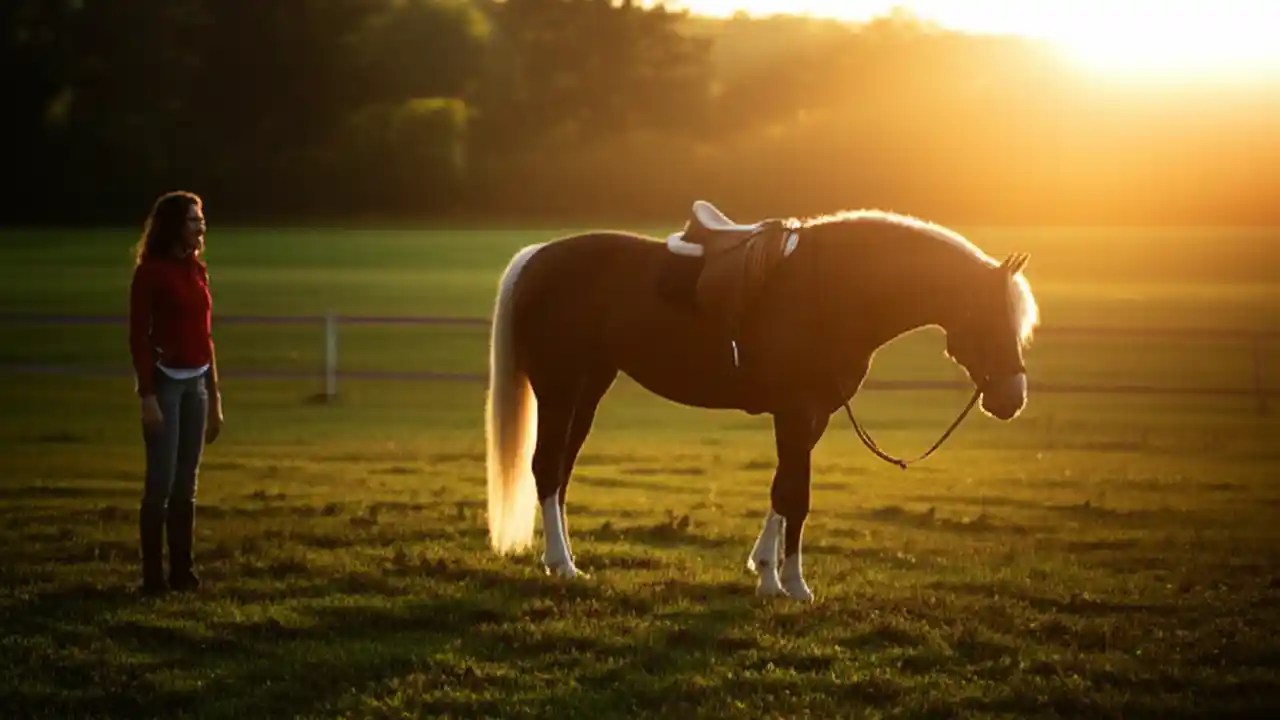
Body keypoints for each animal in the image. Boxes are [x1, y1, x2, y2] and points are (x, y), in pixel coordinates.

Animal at [484, 203, 1039, 601]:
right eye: (987, 316)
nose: (1012, 397)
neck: (833, 291)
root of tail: (538, 256)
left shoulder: (812, 415)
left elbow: (782, 489)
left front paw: (765, 570)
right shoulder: (795, 411)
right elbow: (796, 495)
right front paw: (789, 584)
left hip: (588, 389)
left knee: (561, 471)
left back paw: (563, 561)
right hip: (559, 387)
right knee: (547, 467)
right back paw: (562, 565)